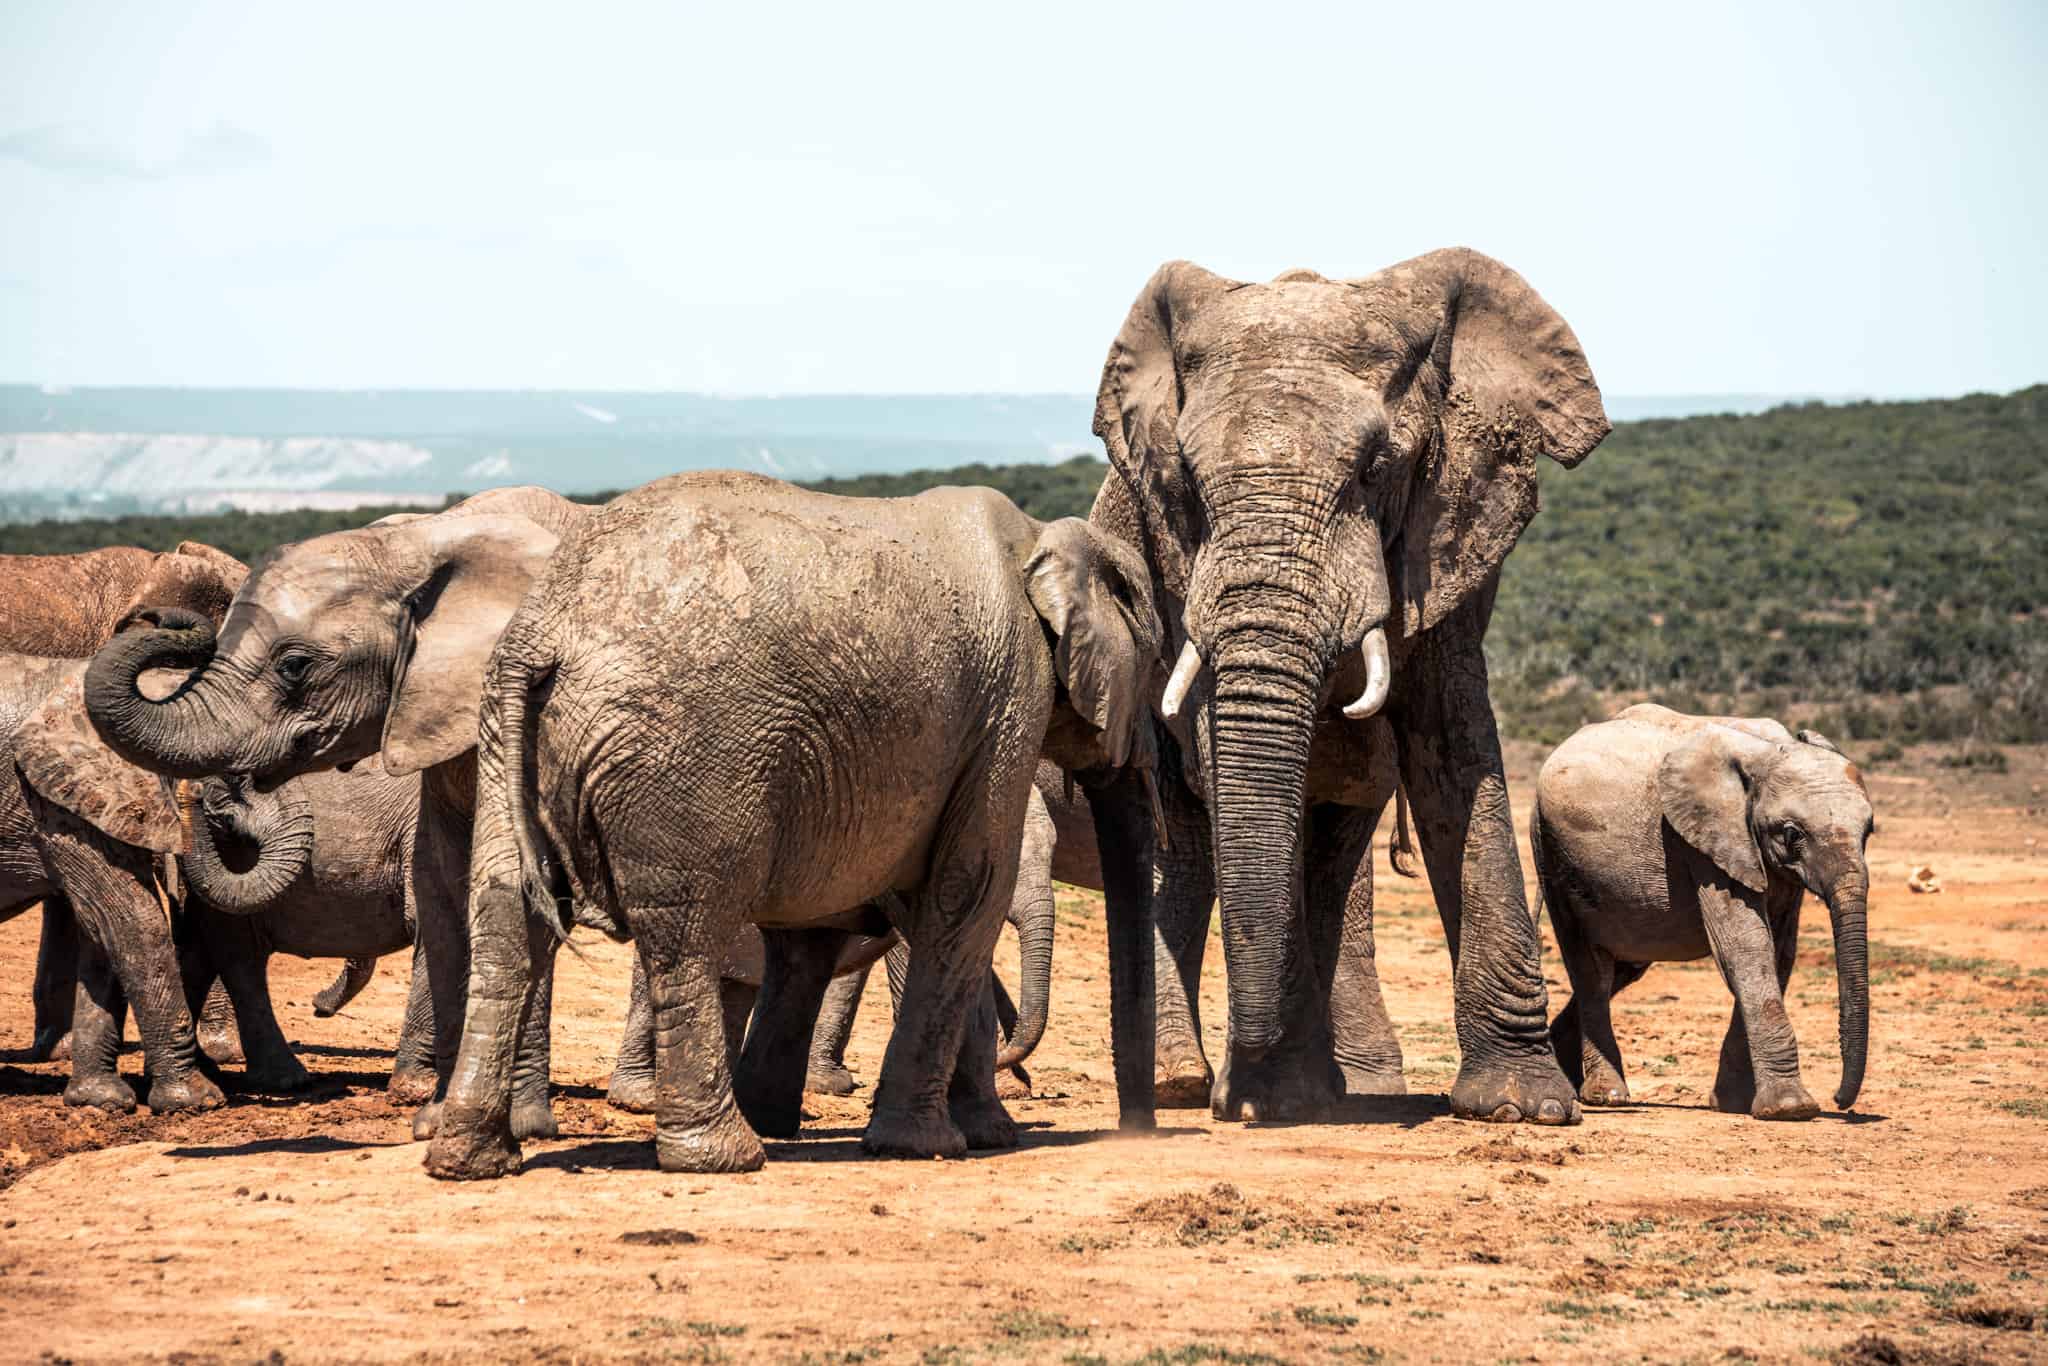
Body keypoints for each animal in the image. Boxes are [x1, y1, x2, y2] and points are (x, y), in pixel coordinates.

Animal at [424, 472, 1160, 1178]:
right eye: (1156, 665)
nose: (1137, 1133)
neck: (1044, 536)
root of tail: (542, 634)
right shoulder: (1007, 701)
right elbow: (968, 890)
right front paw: (928, 1145)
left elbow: (830, 928)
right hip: (684, 757)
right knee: (686, 933)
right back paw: (724, 1156)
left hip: (504, 734)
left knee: (507, 914)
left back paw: (469, 1160)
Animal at [1080, 248, 1611, 1129]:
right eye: (1185, 479)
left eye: (1375, 470)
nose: (1237, 1098)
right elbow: (1231, 769)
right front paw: (1270, 1098)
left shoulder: (1445, 541)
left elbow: (1456, 760)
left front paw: (1520, 1108)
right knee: (1187, 848)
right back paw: (1189, 1084)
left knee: (1327, 854)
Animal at [1532, 704, 1873, 1120]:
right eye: (1793, 833)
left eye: (1869, 831)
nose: (1841, 1100)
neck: (1767, 752)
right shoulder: (1706, 840)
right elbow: (1746, 946)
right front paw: (1791, 1109)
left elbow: (1778, 952)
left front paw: (1732, 1104)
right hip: (1551, 848)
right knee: (1591, 971)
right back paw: (1607, 1096)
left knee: (1622, 969)